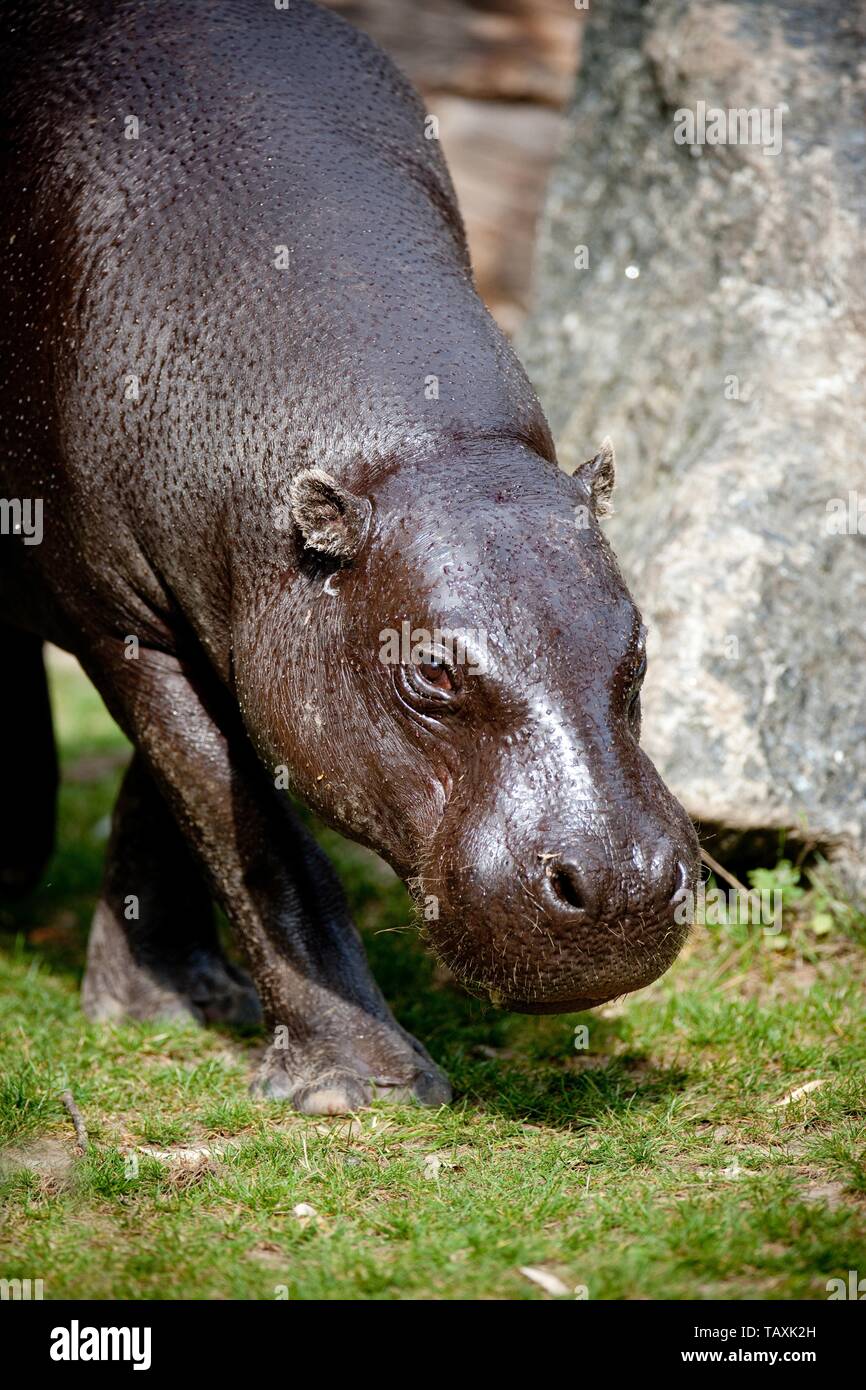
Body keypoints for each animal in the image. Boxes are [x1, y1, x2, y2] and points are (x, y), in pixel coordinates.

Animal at [0, 0, 699, 1113]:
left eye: (638, 651)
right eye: (429, 674)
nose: (623, 886)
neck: (419, 451)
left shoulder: (216, 608)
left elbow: (170, 800)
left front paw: (164, 1002)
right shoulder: (130, 622)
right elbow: (250, 835)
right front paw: (362, 1088)